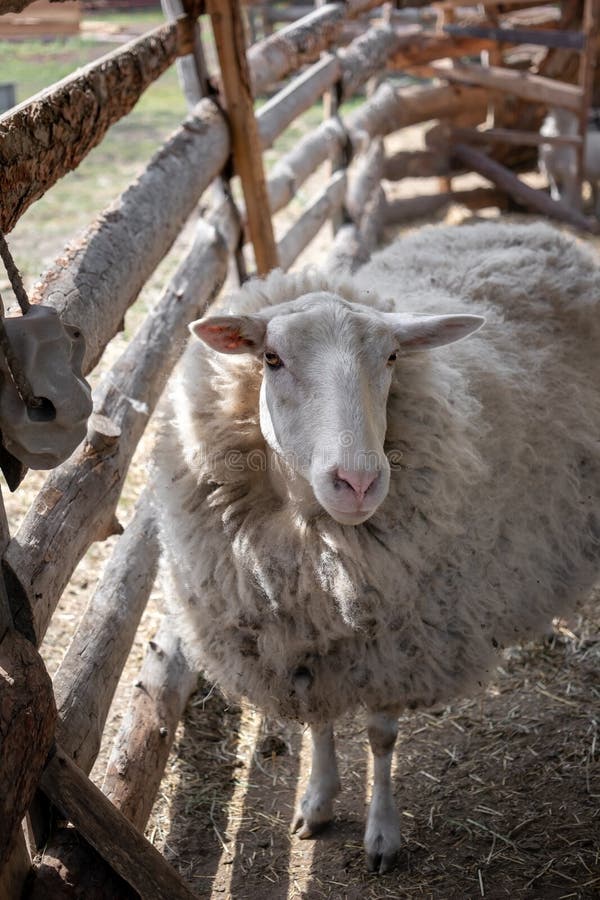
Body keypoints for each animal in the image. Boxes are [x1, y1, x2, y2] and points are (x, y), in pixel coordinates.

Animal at [153, 221, 600, 874]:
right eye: (271, 359)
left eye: (391, 357)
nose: (359, 482)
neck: (316, 558)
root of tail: (530, 228)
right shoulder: (306, 645)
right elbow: (318, 723)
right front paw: (316, 802)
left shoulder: (398, 640)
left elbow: (381, 736)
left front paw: (382, 833)